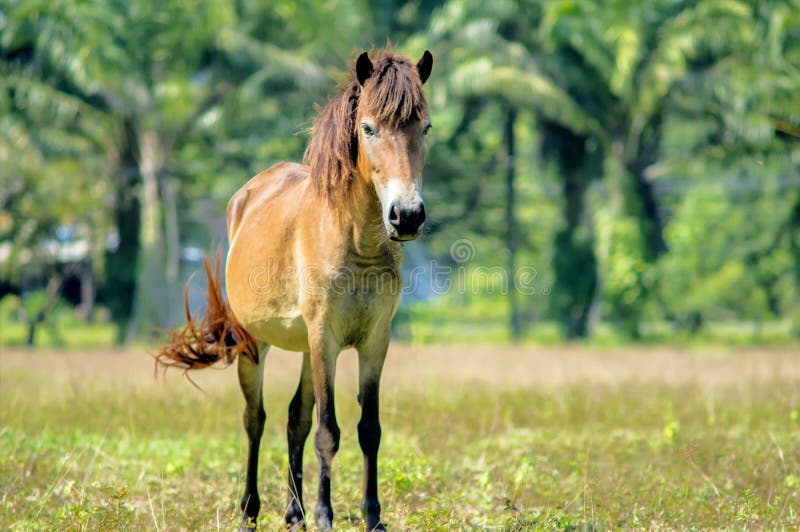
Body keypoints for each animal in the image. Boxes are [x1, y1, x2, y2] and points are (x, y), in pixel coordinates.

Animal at [156, 49, 433, 531]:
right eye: (368, 128)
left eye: (426, 128)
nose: (407, 215)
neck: (357, 242)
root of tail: (247, 193)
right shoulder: (324, 337)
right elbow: (328, 431)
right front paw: (325, 515)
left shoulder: (375, 341)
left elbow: (368, 430)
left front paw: (372, 516)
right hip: (255, 343)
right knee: (255, 419)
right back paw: (251, 511)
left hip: (305, 348)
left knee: (293, 419)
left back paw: (293, 512)